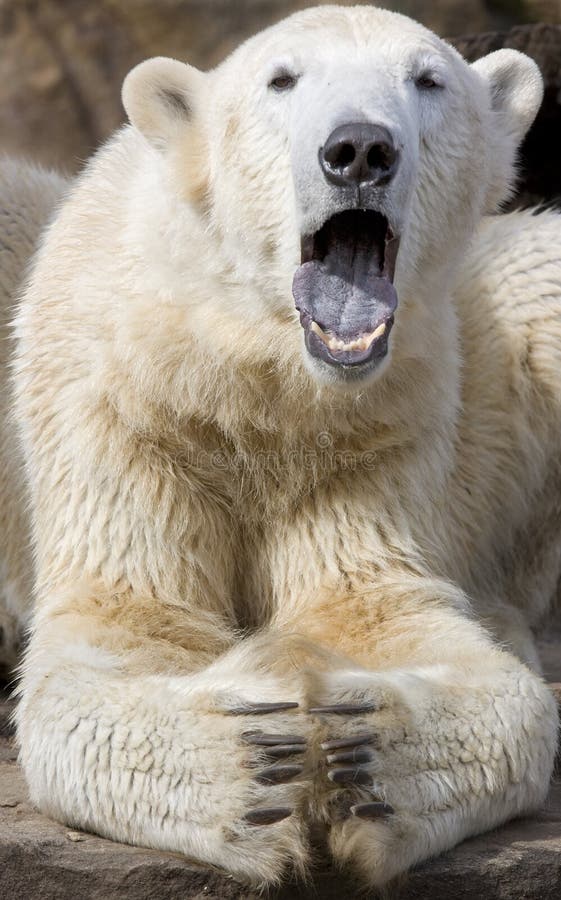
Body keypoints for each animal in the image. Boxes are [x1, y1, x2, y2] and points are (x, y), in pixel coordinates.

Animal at [1, 2, 560, 890]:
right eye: (282, 79)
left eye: (427, 79)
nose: (359, 149)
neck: (259, 384)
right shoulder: (128, 418)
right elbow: (128, 629)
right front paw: (258, 759)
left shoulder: (378, 438)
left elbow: (380, 613)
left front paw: (364, 752)